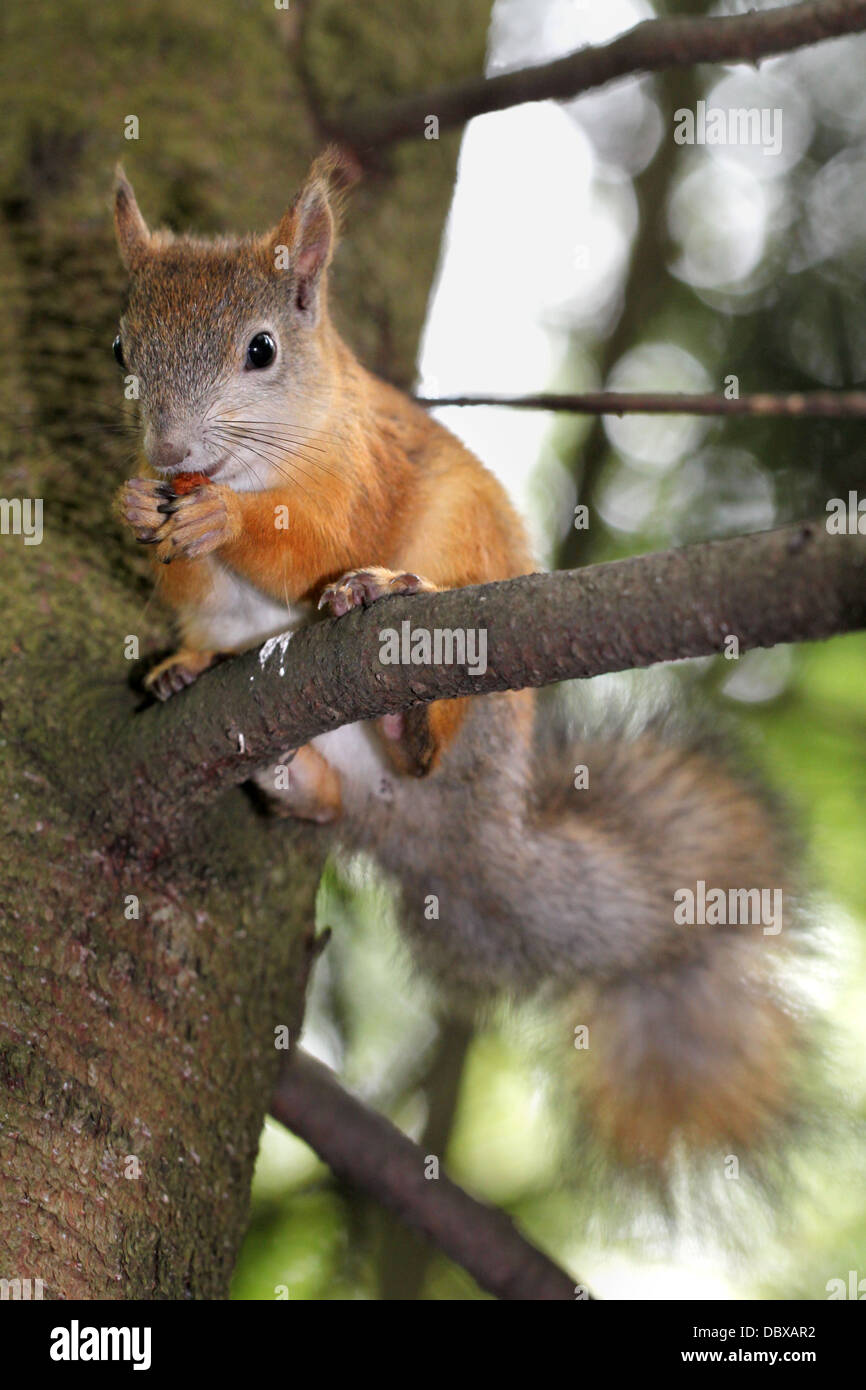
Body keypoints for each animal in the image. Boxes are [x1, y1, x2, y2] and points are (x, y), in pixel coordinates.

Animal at [112, 151, 802, 1172]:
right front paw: (140, 516)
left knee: (424, 734)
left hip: (458, 562)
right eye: (122, 350)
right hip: (351, 784)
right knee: (334, 801)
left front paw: (228, 521)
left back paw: (392, 657)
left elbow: (309, 543)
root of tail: (472, 829)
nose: (167, 451)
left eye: (262, 351)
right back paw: (256, 739)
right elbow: (192, 586)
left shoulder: (360, 473)